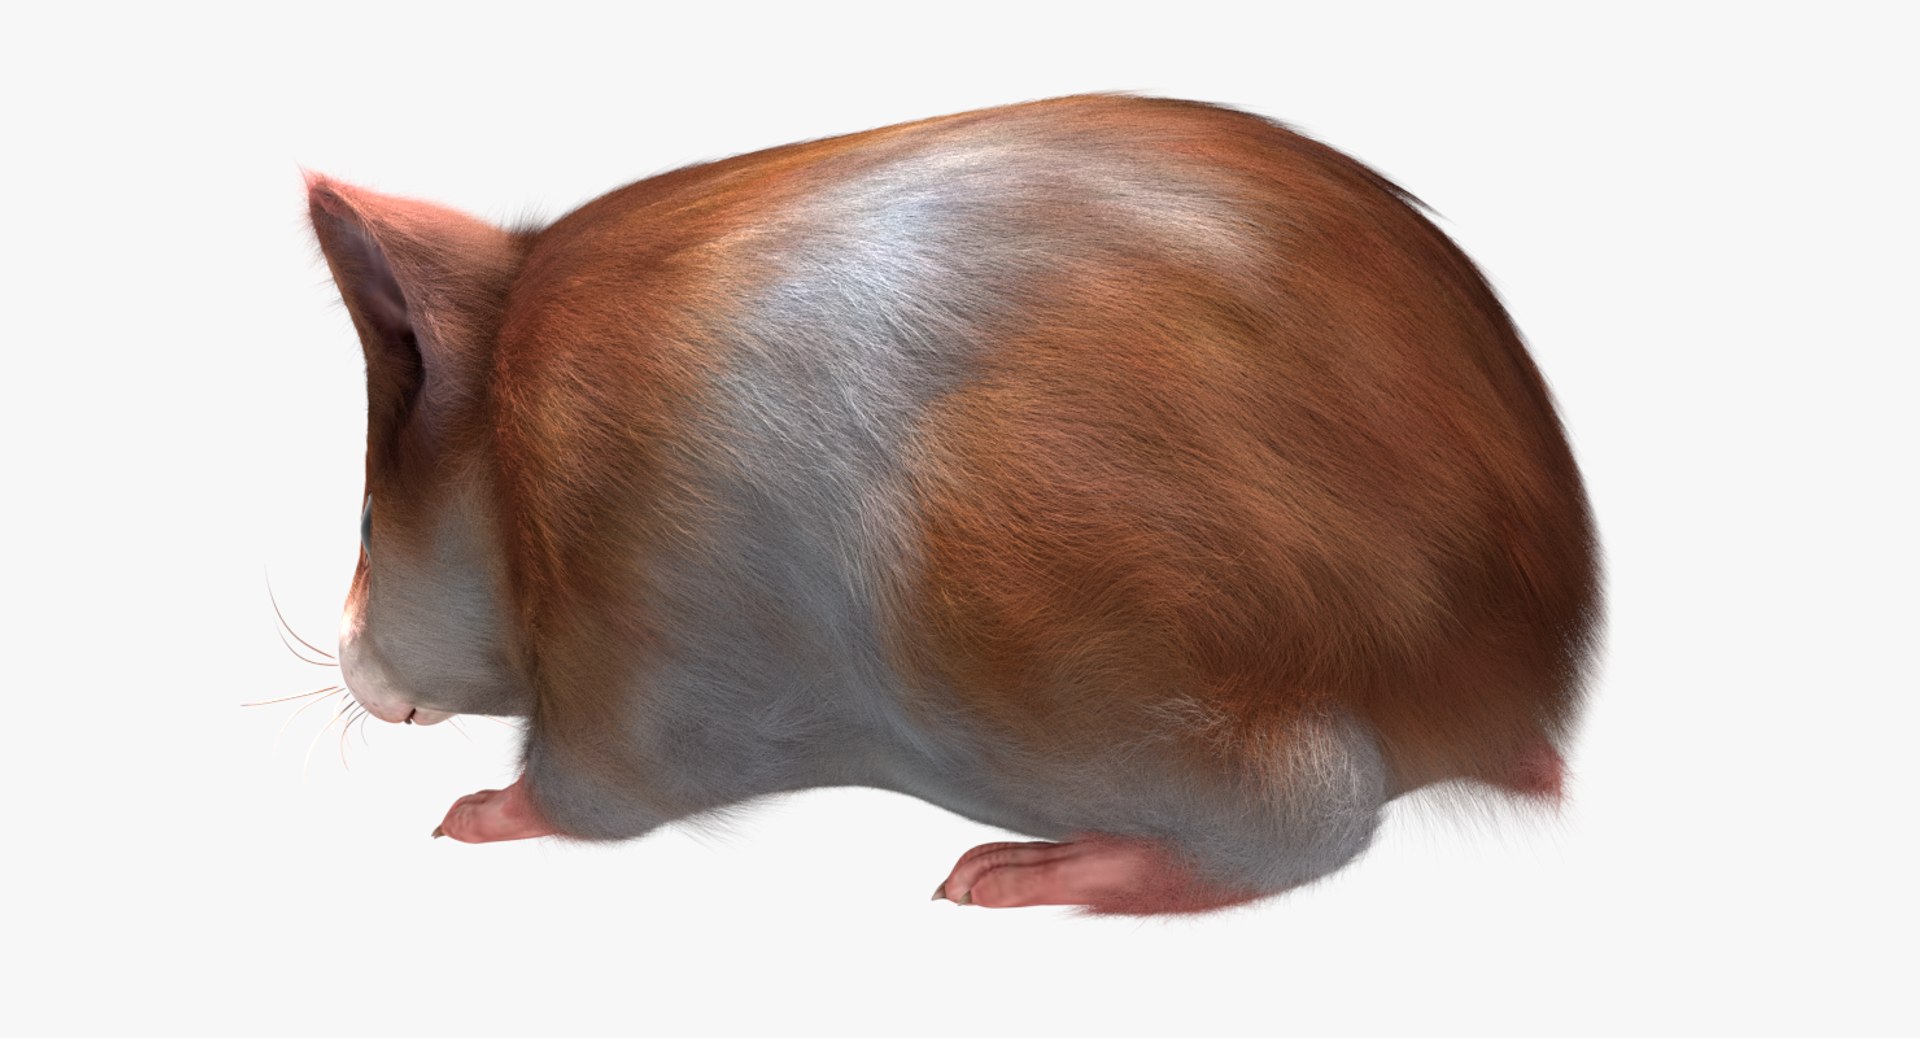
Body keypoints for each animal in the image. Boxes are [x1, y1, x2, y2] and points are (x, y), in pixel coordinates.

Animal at [302, 94, 1600, 914]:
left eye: (366, 523)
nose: (354, 659)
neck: (515, 464)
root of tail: (1518, 672)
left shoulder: (630, 665)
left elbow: (590, 788)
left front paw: (474, 814)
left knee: (1317, 819)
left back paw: (1025, 875)